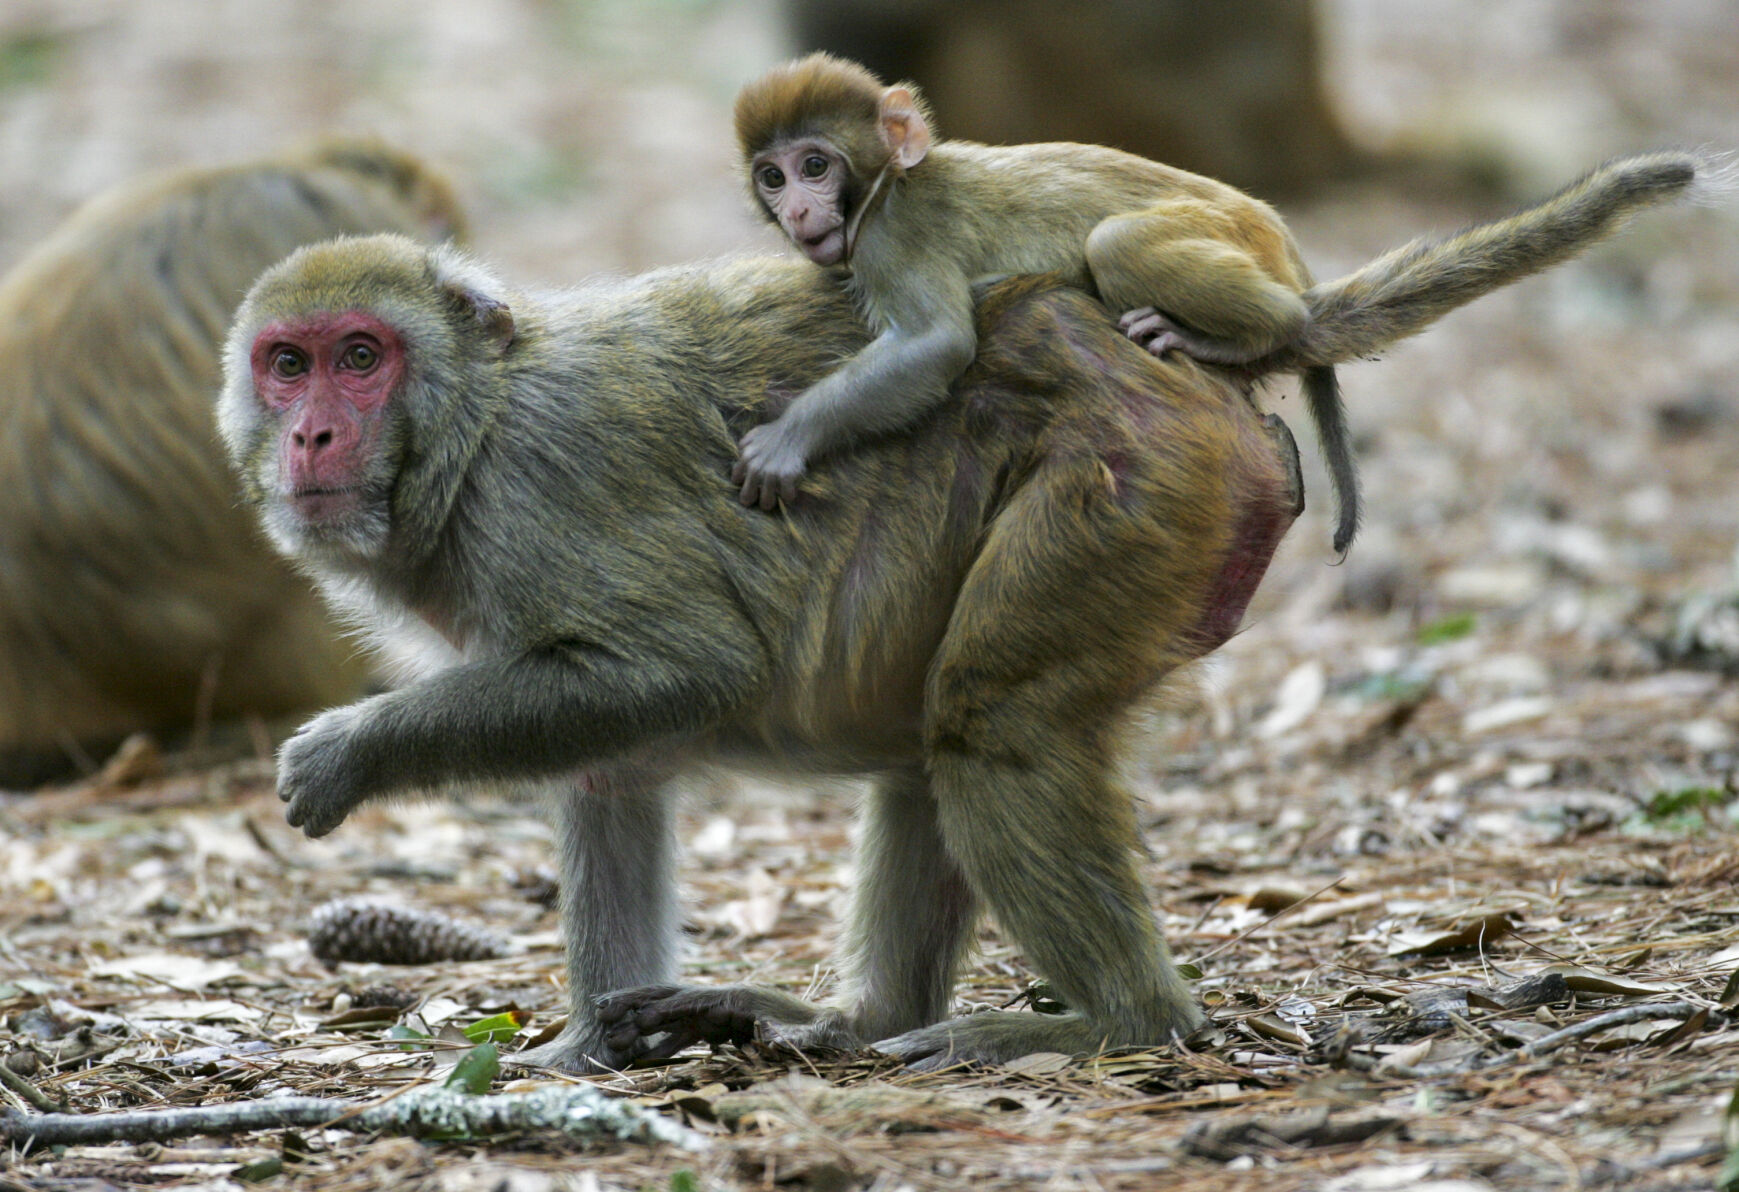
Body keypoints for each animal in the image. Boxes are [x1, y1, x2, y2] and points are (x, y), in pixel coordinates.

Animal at [221, 142, 1710, 1072]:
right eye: (287, 364)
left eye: (360, 357)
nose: (309, 438)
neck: (470, 431)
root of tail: (1216, 373)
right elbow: (611, 771)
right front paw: (591, 1049)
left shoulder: (539, 494)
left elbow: (676, 671)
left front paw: (346, 753)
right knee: (924, 742)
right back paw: (848, 1019)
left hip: (1134, 488)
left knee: (986, 723)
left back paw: (1116, 1024)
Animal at [729, 52, 1364, 559]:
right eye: (772, 177)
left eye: (814, 166)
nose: (797, 211)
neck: (888, 184)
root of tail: (1274, 227)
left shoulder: (894, 237)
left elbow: (936, 342)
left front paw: (786, 439)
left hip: (1228, 233)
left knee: (1116, 244)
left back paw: (1255, 331)